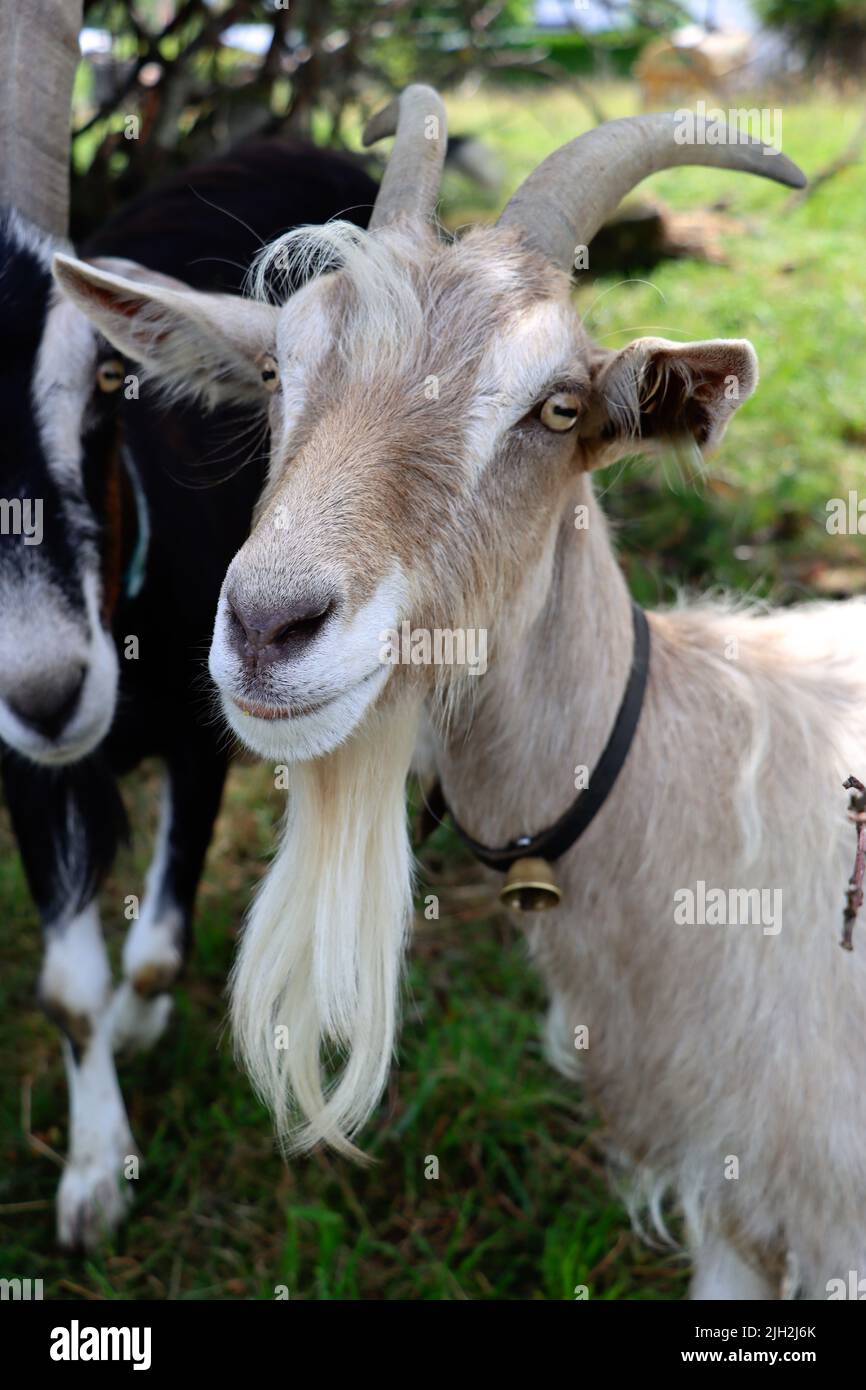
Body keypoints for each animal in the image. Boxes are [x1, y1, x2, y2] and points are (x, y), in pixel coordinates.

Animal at [0, 0, 377, 1248]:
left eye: (105, 387)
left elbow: (159, 955)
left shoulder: (210, 730)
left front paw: (137, 1025)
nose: (50, 690)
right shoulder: (31, 775)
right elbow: (67, 990)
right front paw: (89, 1176)